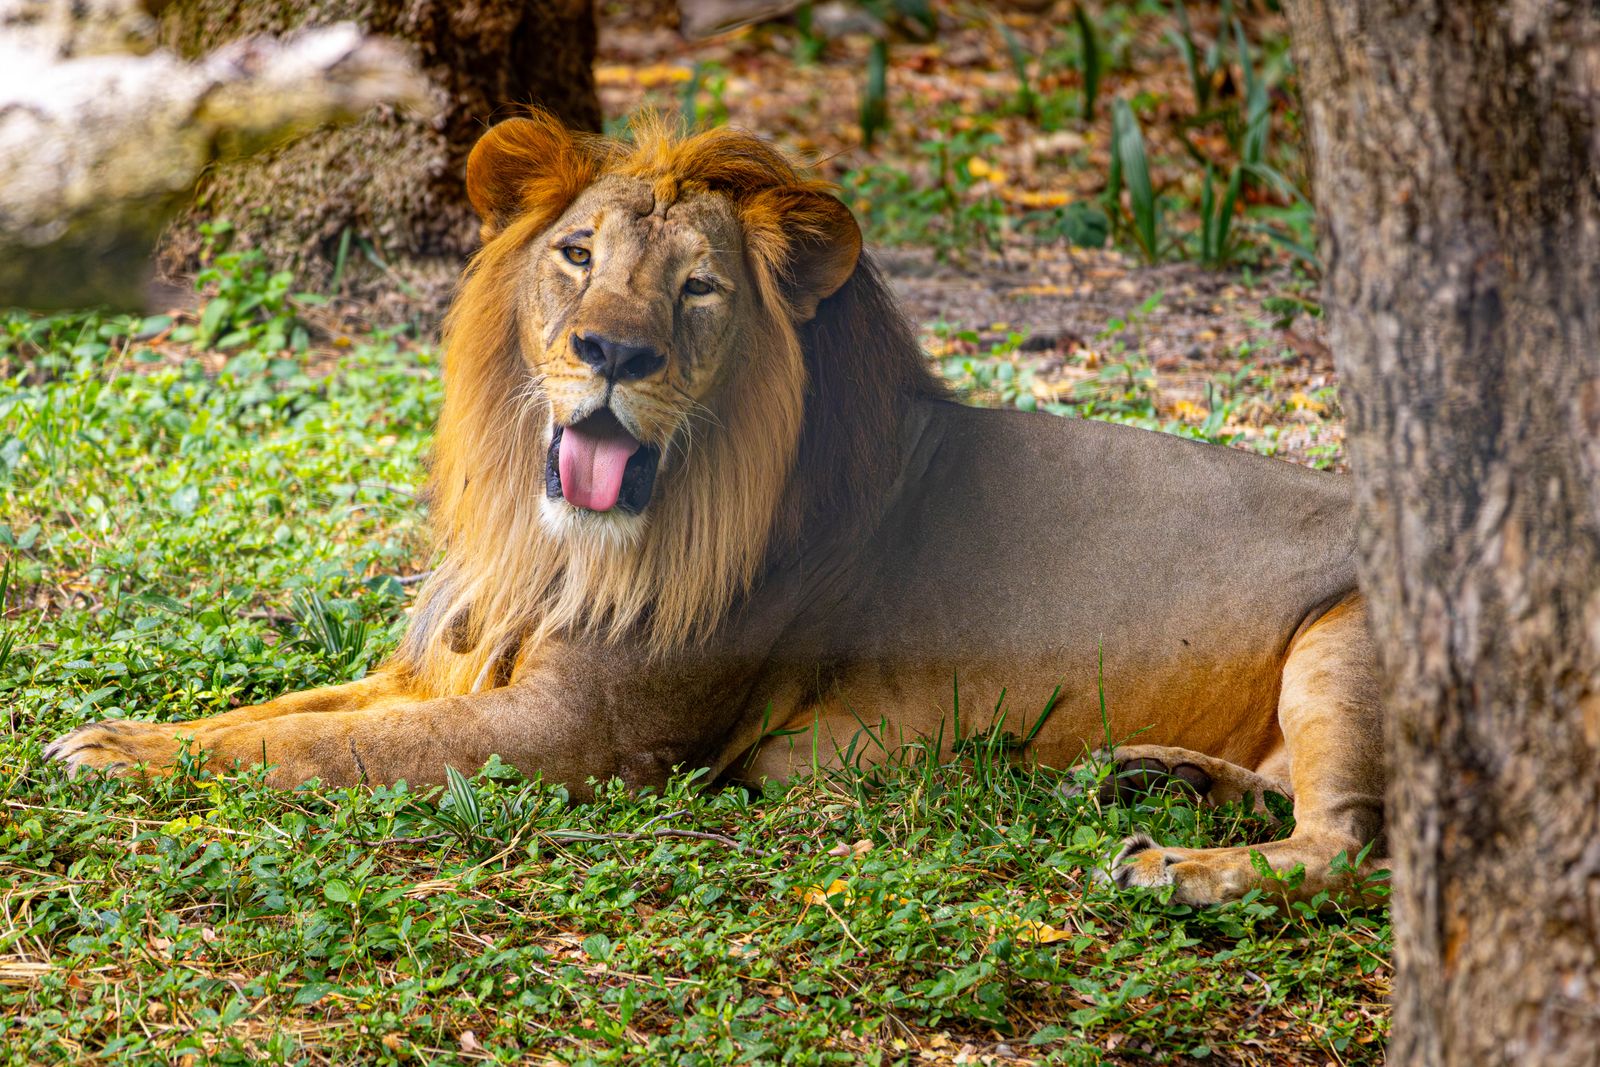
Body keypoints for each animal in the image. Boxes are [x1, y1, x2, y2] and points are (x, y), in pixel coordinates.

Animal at [47, 112, 1384, 905]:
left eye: (697, 288)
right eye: (578, 254)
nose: (610, 354)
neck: (558, 544)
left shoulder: (584, 739)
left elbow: (327, 747)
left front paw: (110, 756)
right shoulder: (449, 668)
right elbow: (285, 711)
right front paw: (125, 733)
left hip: (1347, 639)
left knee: (1351, 842)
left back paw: (1177, 863)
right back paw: (1156, 779)